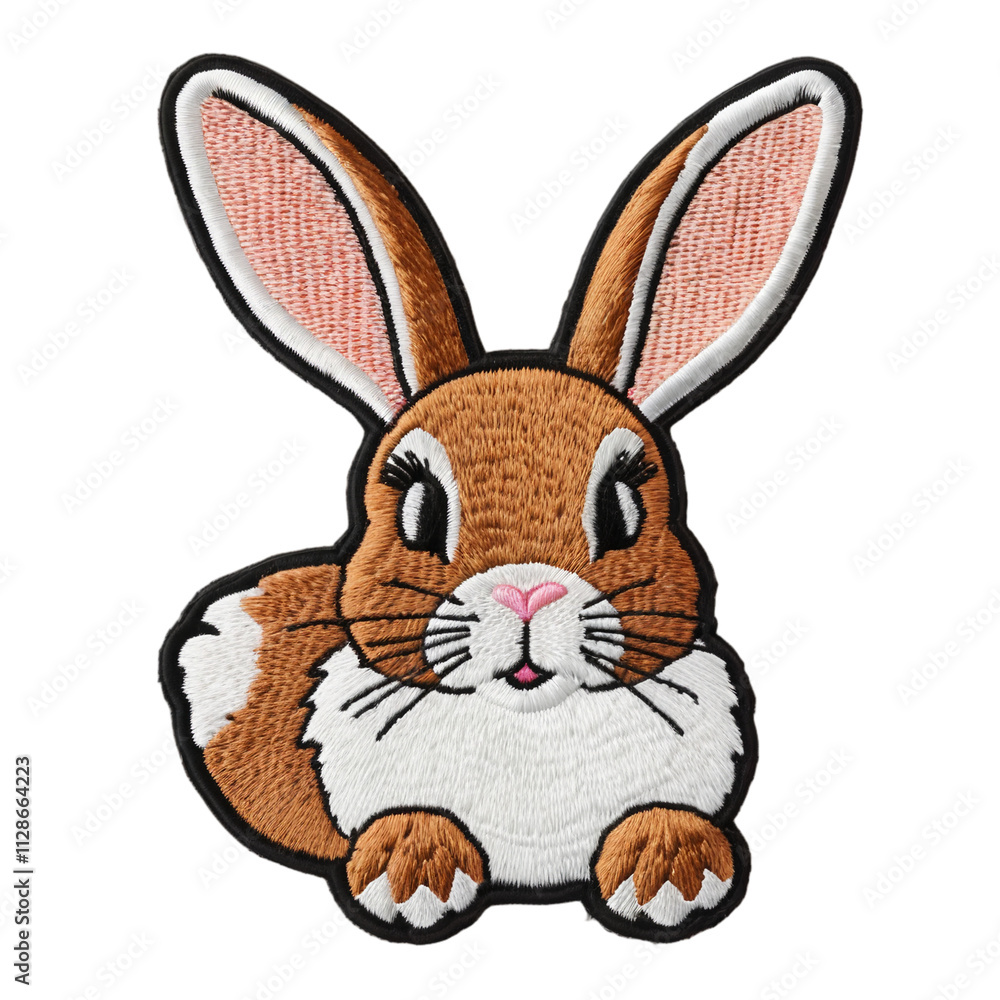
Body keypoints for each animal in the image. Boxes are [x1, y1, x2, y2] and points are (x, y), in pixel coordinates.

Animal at [159, 54, 860, 943]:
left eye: (622, 510)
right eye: (419, 511)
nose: (528, 595)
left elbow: (665, 822)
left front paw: (672, 868)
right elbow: (406, 828)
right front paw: (410, 872)